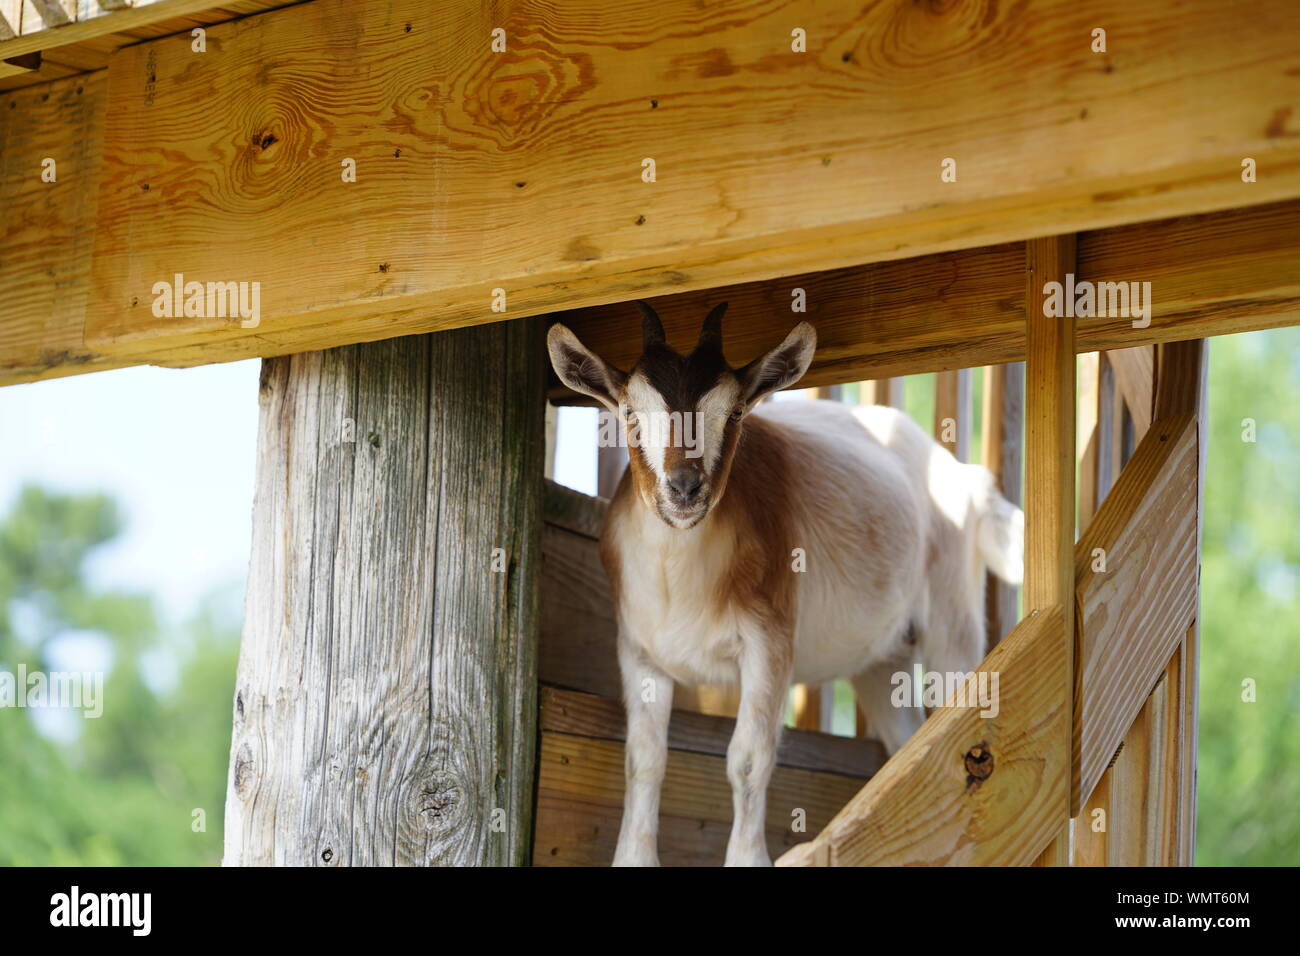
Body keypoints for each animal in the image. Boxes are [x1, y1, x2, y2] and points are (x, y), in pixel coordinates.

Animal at [547, 302, 1025, 867]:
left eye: (734, 413)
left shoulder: (769, 640)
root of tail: (967, 479)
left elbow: (748, 758)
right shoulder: (639, 651)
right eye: (629, 413)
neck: (682, 577)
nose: (685, 488)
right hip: (880, 664)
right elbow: (643, 759)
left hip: (953, 625)